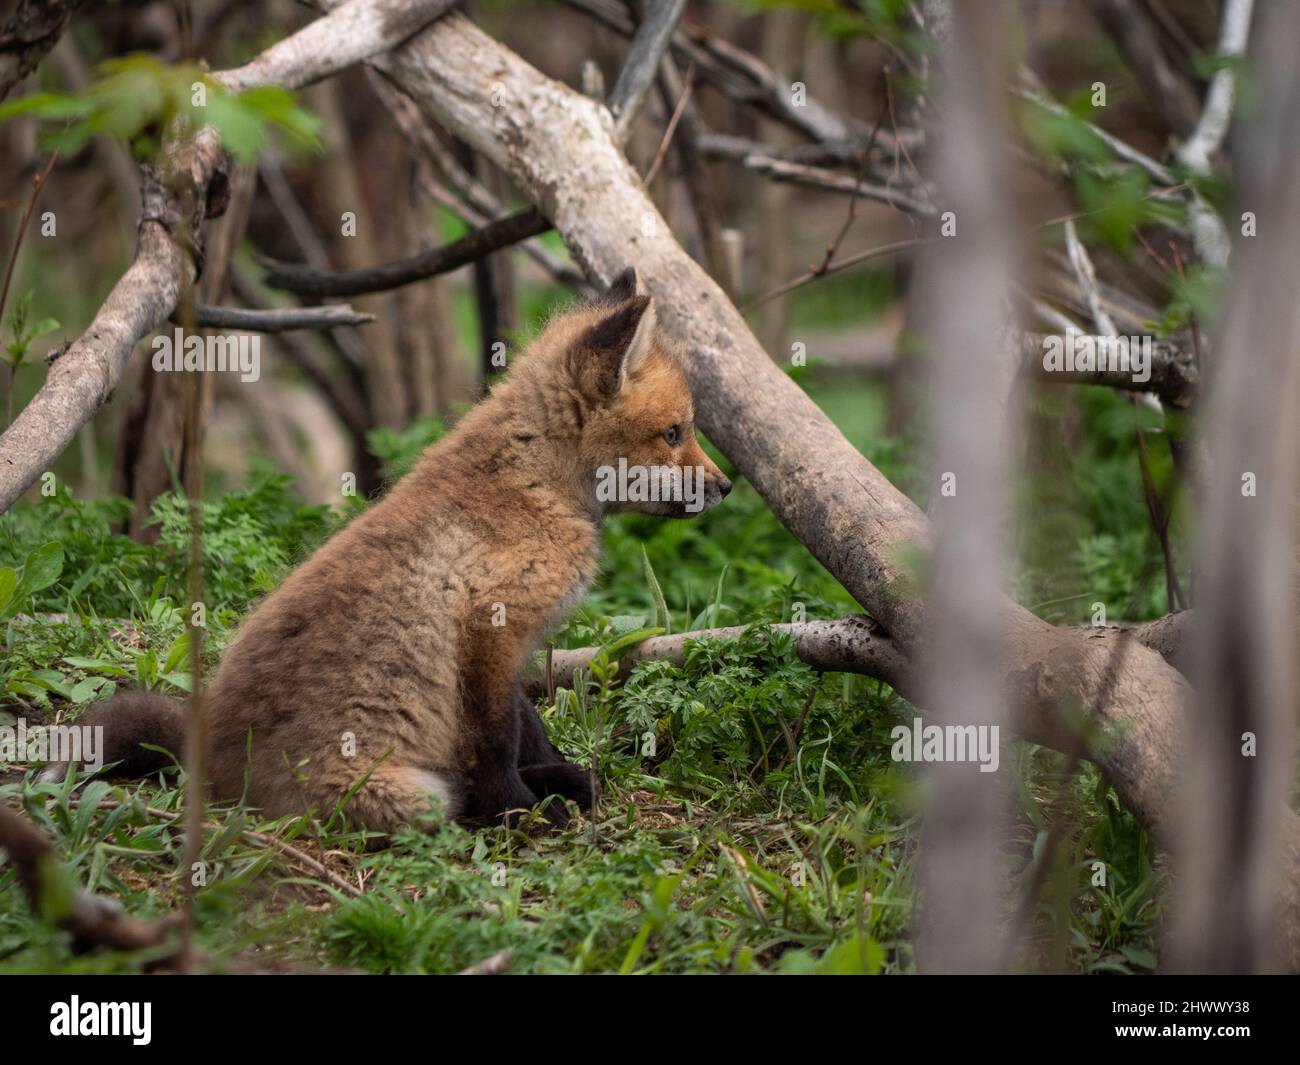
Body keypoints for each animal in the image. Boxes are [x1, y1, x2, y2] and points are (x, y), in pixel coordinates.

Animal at [45, 267, 730, 835]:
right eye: (674, 433)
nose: (726, 486)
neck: (534, 487)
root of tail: (210, 760)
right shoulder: (487, 625)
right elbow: (496, 743)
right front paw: (518, 809)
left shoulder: (509, 645)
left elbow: (528, 729)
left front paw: (552, 778)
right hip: (406, 792)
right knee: (448, 792)